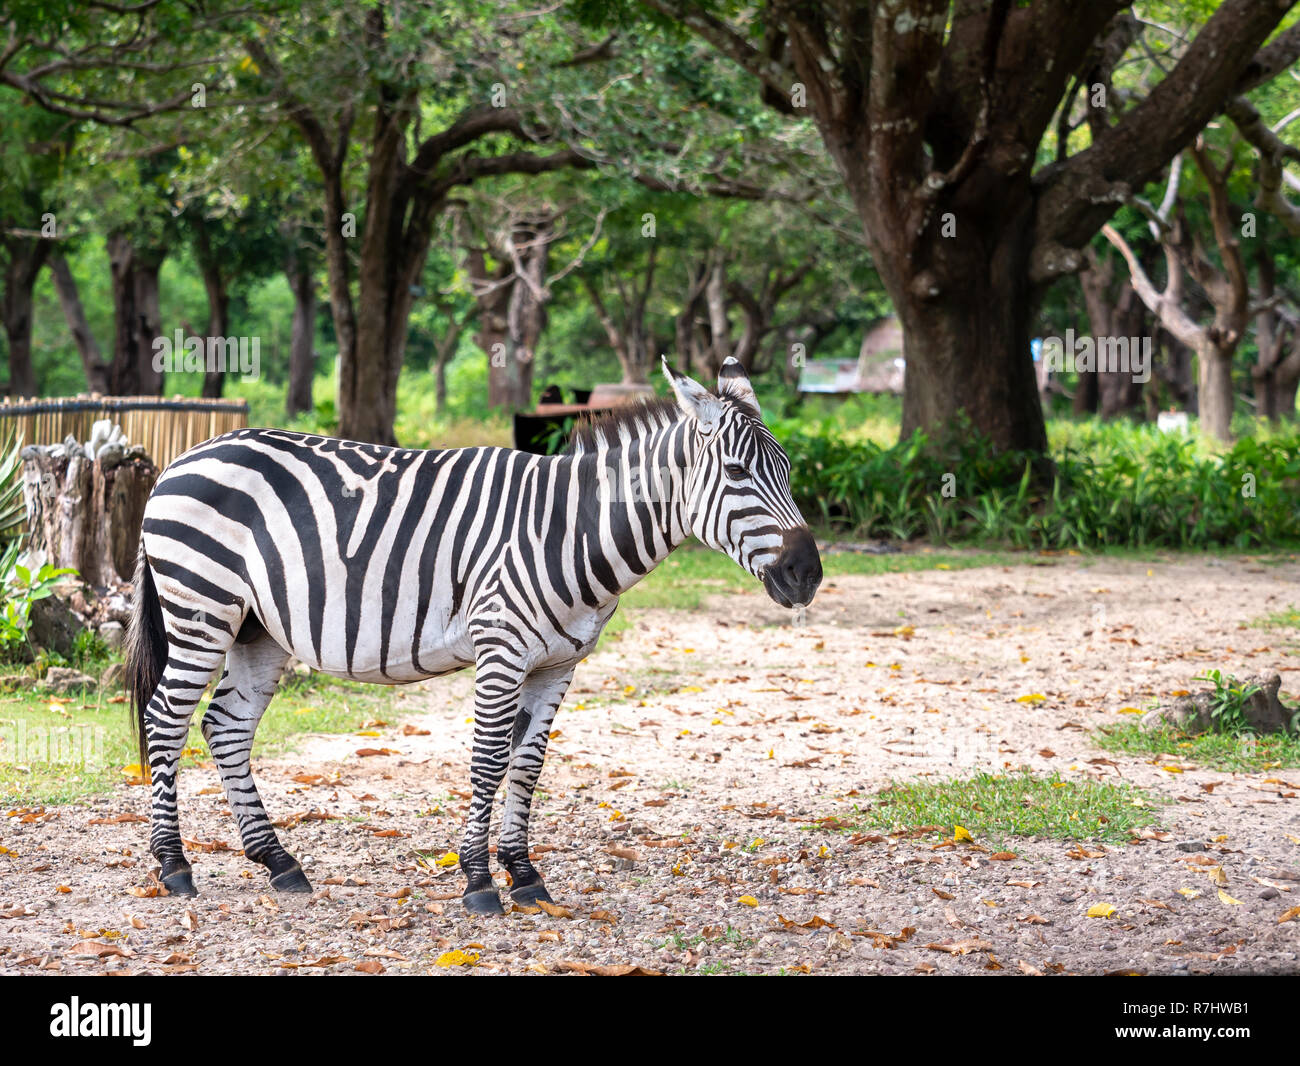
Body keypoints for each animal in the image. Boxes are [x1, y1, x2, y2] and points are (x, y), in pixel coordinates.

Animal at [127, 356, 822, 914]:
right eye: (736, 473)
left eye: (789, 470)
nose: (807, 573)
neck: (572, 530)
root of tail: (183, 457)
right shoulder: (502, 648)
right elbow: (487, 761)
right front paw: (478, 882)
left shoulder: (558, 663)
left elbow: (529, 764)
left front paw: (525, 875)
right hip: (202, 608)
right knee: (166, 720)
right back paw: (175, 868)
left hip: (258, 629)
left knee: (226, 725)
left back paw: (279, 863)